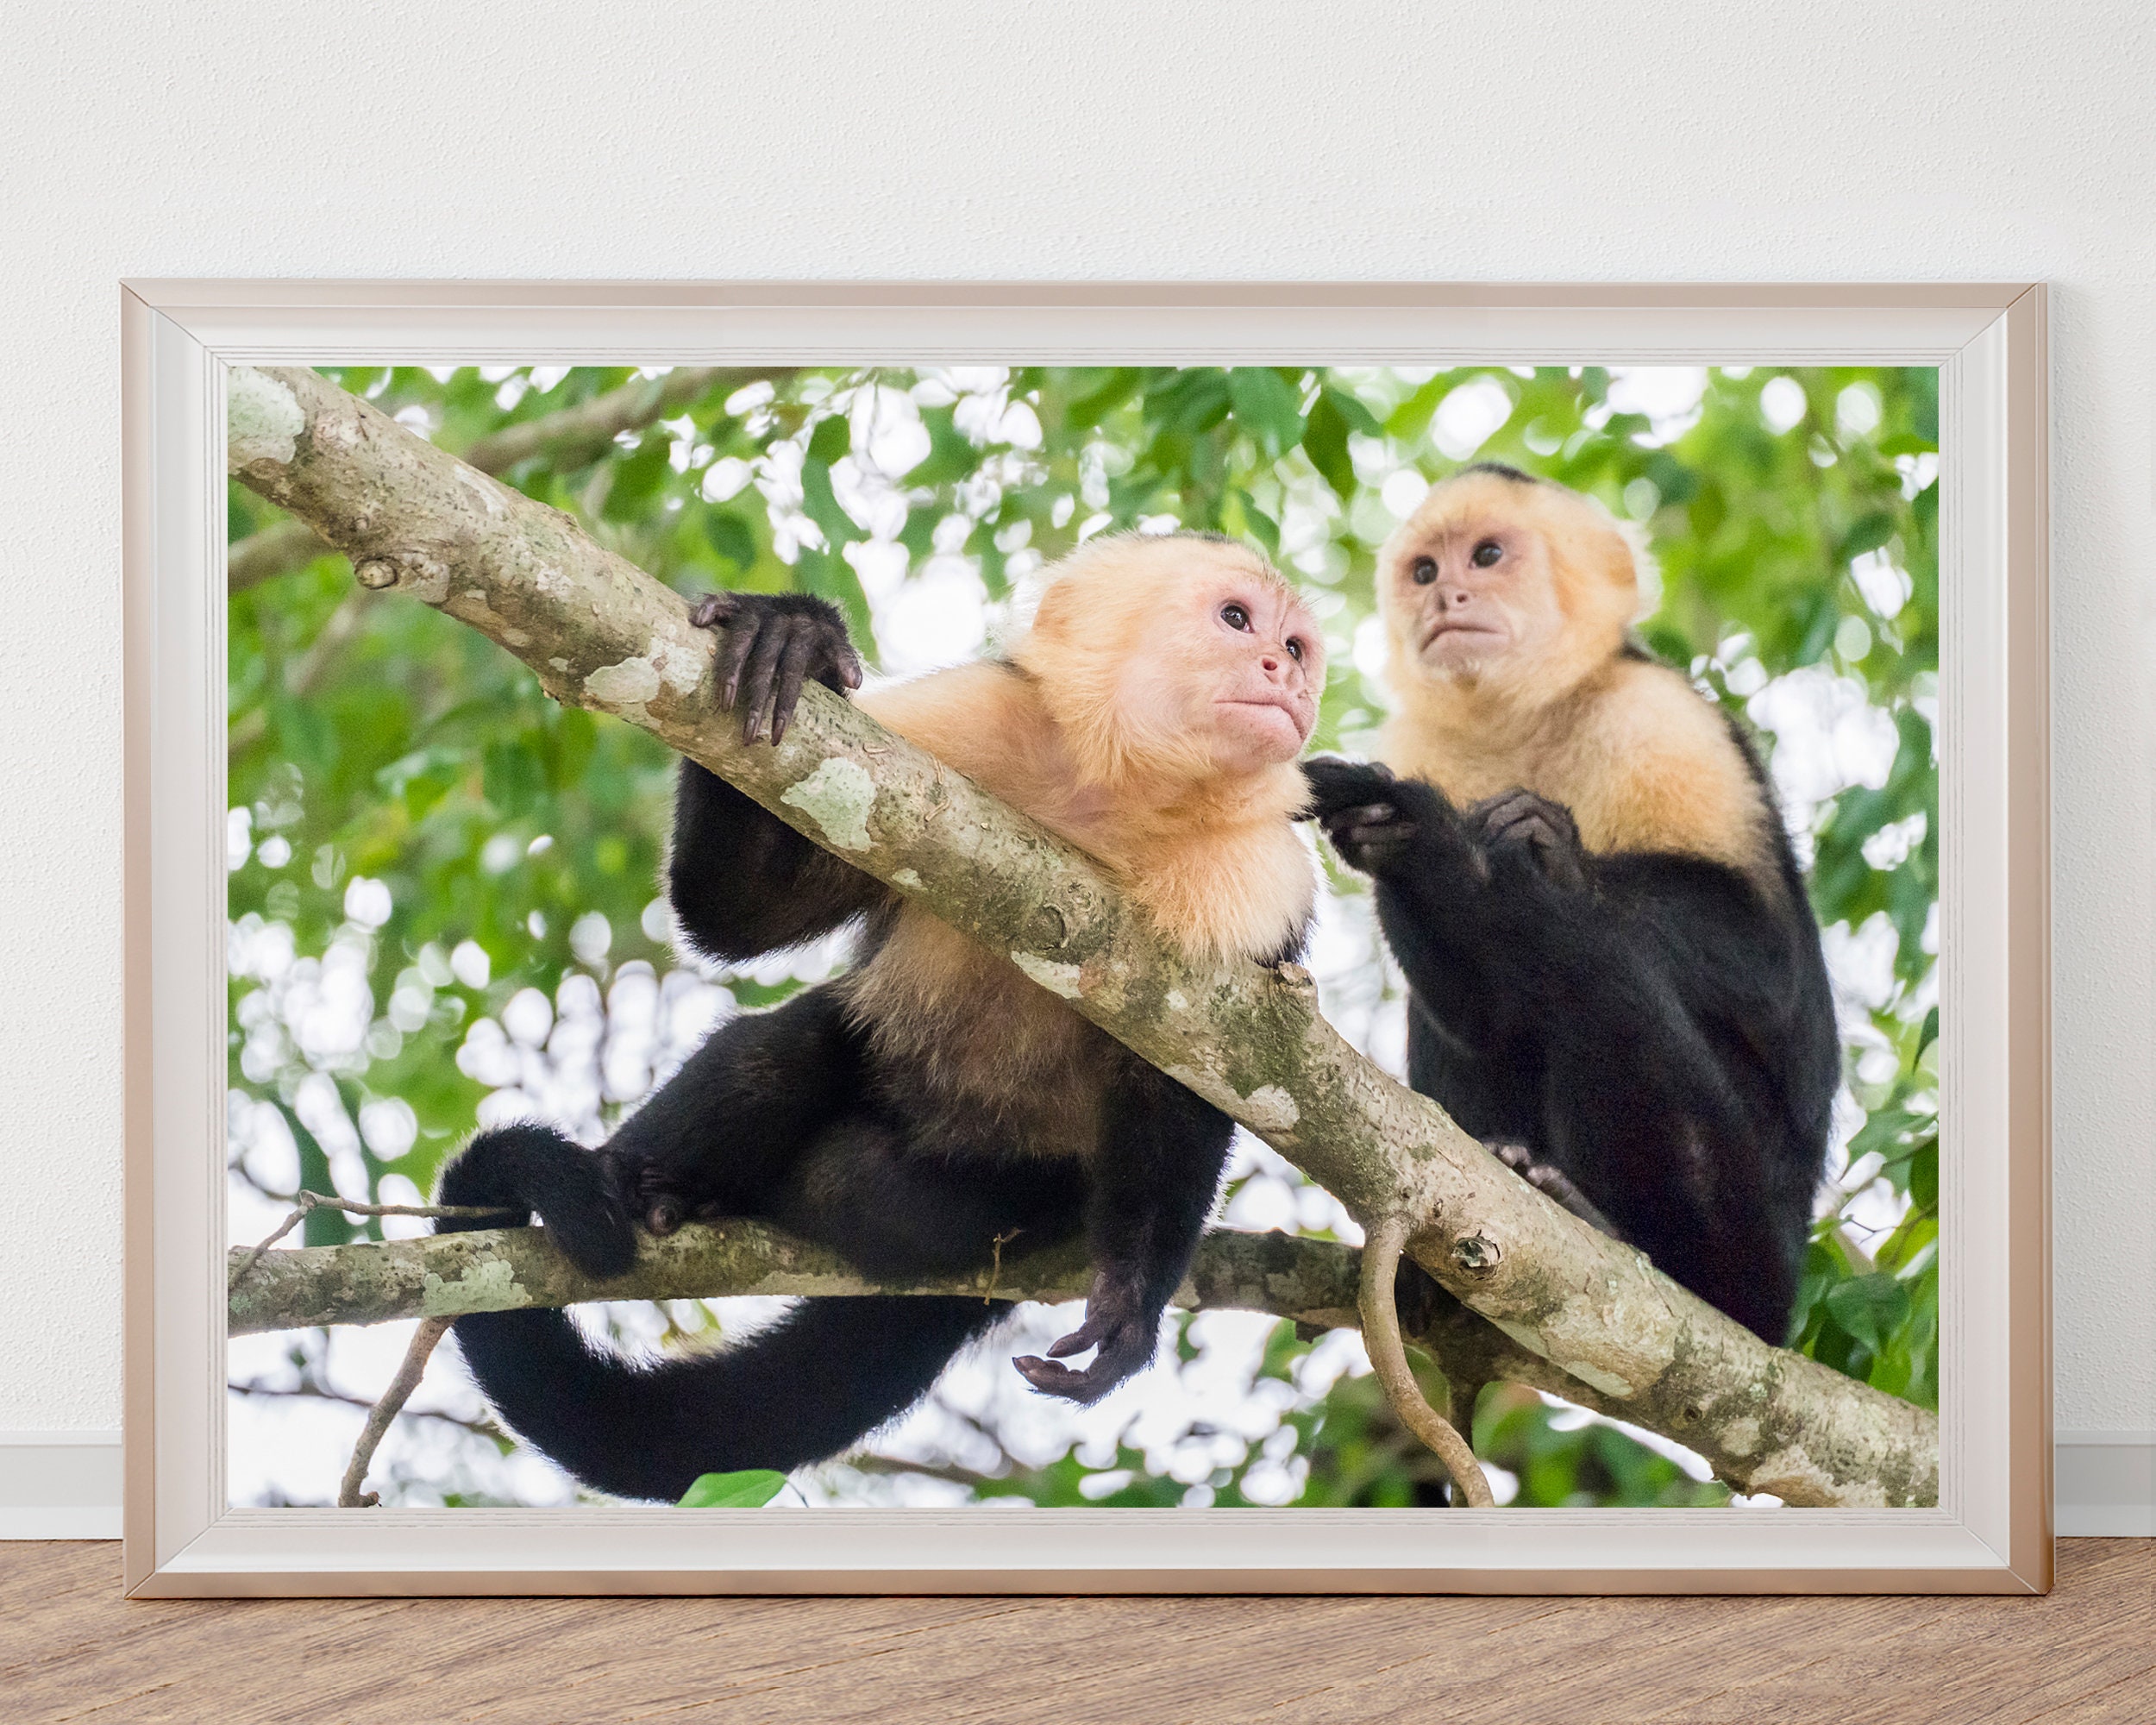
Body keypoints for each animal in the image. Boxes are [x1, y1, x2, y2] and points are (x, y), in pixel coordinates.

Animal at [433, 533, 1326, 1500]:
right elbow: (737, 916)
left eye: (1296, 645)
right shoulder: (963, 721)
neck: (1116, 796)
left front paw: (1131, 1302)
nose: (1284, 669)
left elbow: (1203, 1083)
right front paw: (794, 635)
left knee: (892, 1200)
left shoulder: (1262, 877)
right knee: (779, 1052)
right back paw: (654, 1189)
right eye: (1237, 619)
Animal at [1302, 464, 1839, 1344]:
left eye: (1486, 556)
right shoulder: (1421, 741)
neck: (1523, 721)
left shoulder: (1657, 716)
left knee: (1592, 966)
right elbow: (1476, 1007)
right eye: (1425, 571)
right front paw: (1413, 848)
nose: (1445, 596)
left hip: (1762, 1253)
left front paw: (1543, 849)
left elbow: (1767, 962)